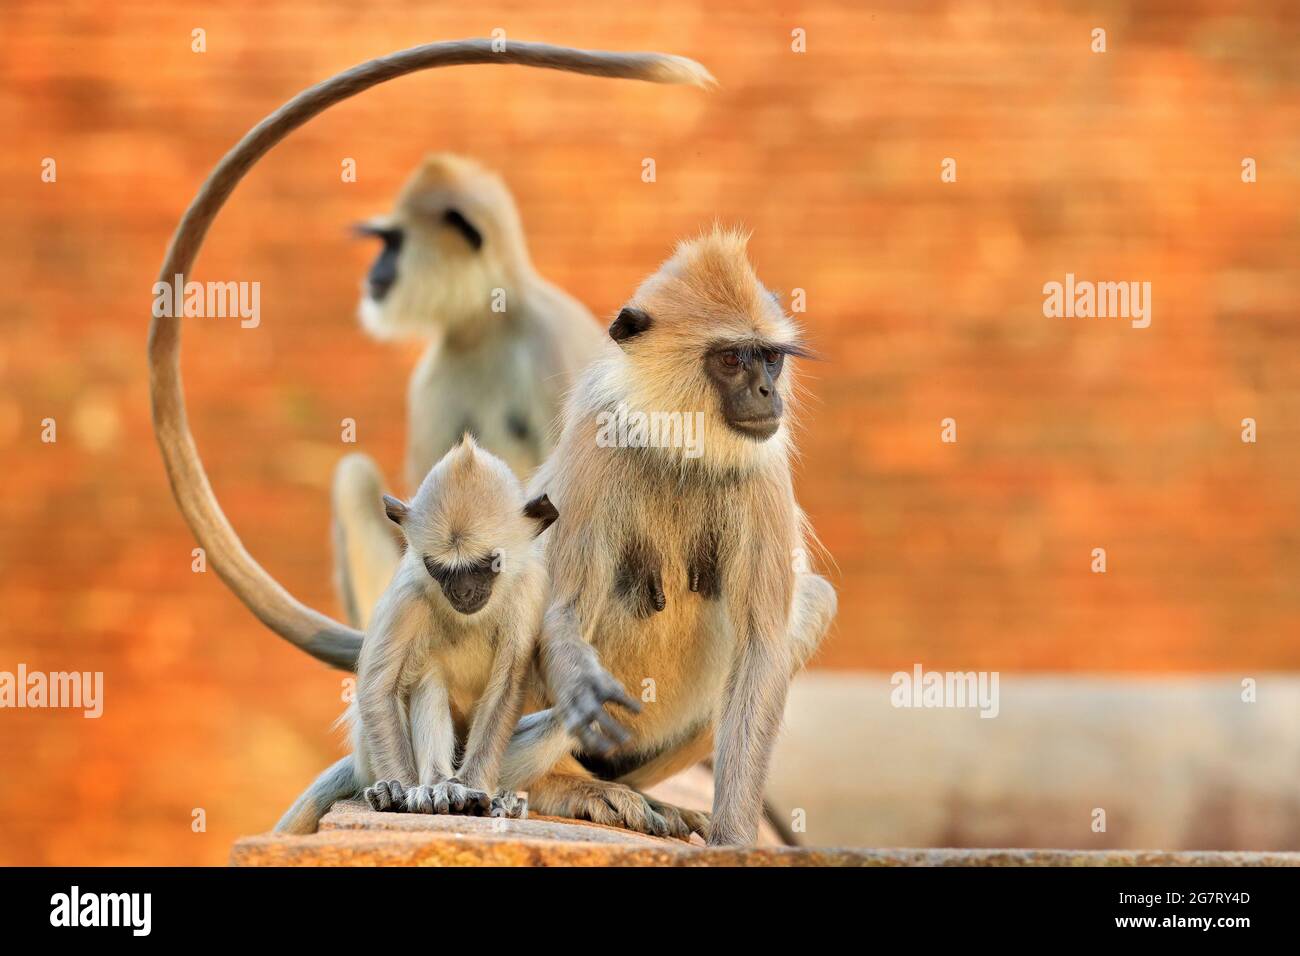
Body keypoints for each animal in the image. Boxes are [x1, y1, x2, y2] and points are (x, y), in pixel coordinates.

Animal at [275, 434, 556, 834]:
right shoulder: (409, 595)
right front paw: (403, 792)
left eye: (486, 566)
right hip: (369, 751)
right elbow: (378, 689)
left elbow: (508, 686)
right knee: (427, 675)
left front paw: (480, 791)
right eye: (440, 570)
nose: (463, 593)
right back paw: (437, 784)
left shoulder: (529, 589)